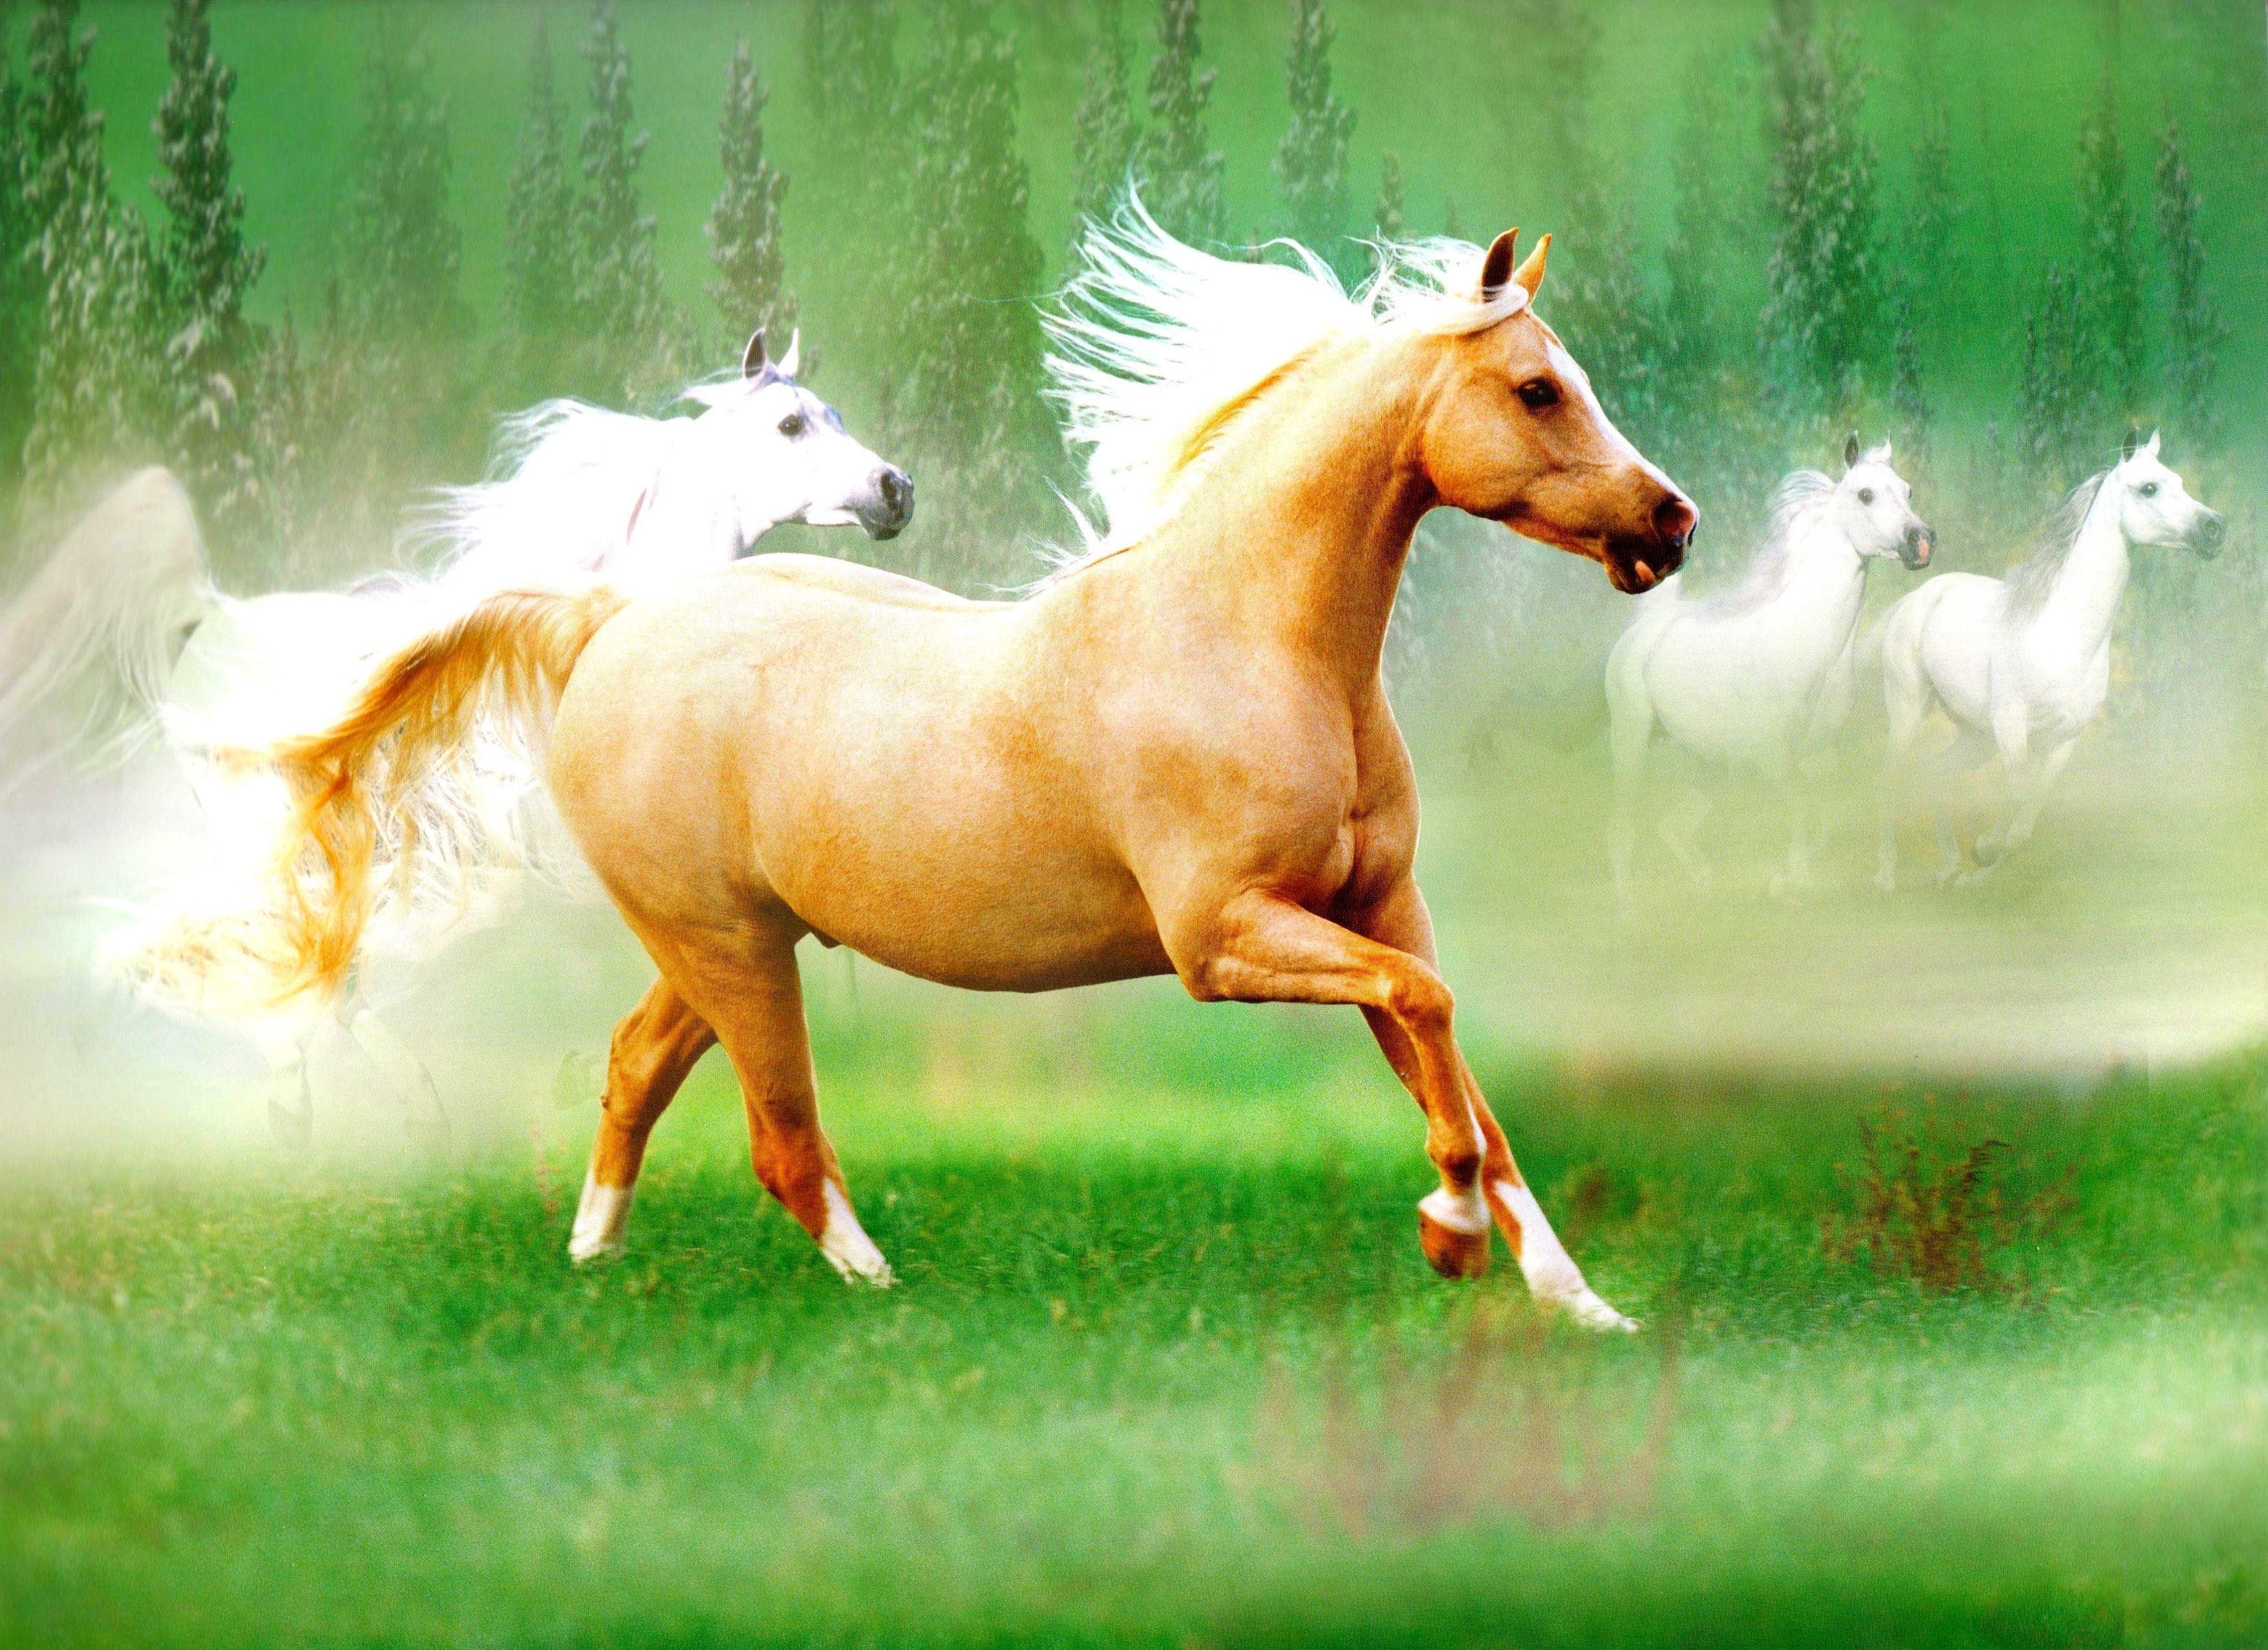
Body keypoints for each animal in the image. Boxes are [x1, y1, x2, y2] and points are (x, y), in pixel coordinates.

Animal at [7, 330, 911, 1138]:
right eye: (791, 424)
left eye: (832, 414)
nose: (895, 487)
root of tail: (206, 618)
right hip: (262, 828)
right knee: (257, 944)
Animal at [122, 202, 1696, 1327]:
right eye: (1536, 388)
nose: (1669, 523)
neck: (1244, 638)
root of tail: (609, 626)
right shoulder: (1226, 939)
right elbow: (1437, 1040)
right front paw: (1447, 1238)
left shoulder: (1377, 912)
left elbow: (1461, 1075)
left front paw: (1575, 1302)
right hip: (731, 944)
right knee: (779, 1141)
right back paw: (880, 1292)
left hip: (722, 942)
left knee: (635, 1069)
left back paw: (594, 1264)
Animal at [1605, 438, 1932, 901]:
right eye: (1865, 494)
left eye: (1908, 491)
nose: (1921, 541)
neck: (1809, 648)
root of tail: (1649, 625)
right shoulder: (1774, 759)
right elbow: (1791, 818)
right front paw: (1787, 887)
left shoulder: (1820, 754)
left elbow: (1816, 823)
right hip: (1632, 737)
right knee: (1625, 821)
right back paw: (1627, 895)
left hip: (1703, 757)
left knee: (1676, 827)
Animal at [1872, 430, 2223, 888]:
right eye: (2149, 488)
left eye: (2179, 481)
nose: (2215, 529)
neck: (2066, 637)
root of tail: (1915, 599)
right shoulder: (2012, 728)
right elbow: (2017, 793)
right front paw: (1985, 853)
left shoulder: (2064, 740)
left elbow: (2029, 811)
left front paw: (1984, 863)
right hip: (1909, 709)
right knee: (1892, 780)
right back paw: (1888, 877)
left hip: (1975, 735)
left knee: (1937, 773)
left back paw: (1948, 865)